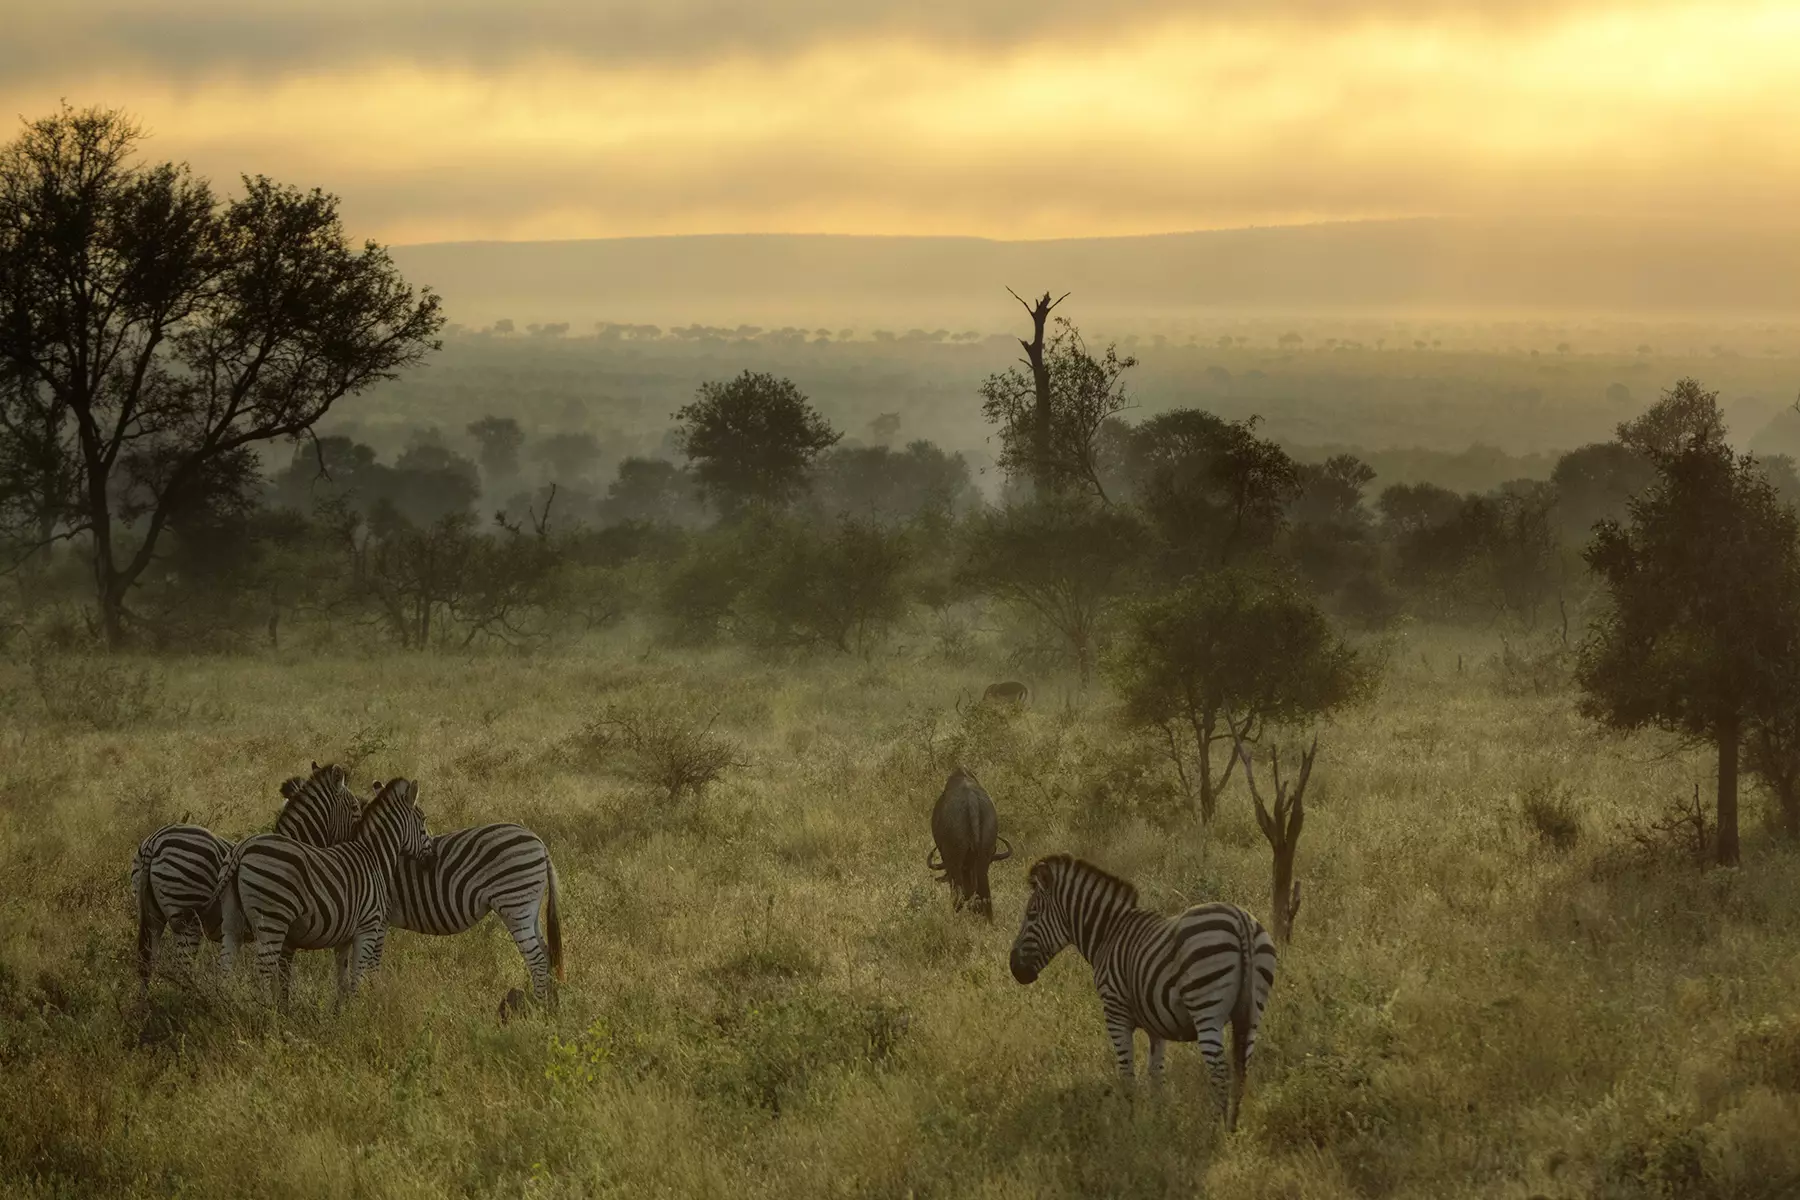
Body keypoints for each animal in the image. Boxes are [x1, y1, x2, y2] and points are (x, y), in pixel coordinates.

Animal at [129, 759, 361, 993]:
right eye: (356, 807)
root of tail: (155, 841)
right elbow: (280, 976)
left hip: (152, 916)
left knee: (146, 965)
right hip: (187, 916)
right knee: (181, 968)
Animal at [219, 773, 433, 1007]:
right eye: (423, 820)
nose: (432, 856)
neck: (374, 856)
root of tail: (244, 847)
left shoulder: (344, 938)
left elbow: (342, 978)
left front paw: (341, 1010)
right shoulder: (367, 929)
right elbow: (357, 978)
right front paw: (357, 1009)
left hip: (232, 922)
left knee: (226, 966)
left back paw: (224, 1004)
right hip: (273, 920)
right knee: (263, 971)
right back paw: (266, 1011)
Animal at [1008, 852, 1274, 1137]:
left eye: (1032, 914)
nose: (1014, 969)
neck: (1108, 934)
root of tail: (1241, 921)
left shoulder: (1114, 1012)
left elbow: (1127, 1072)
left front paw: (1129, 1120)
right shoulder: (1156, 1022)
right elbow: (1155, 1073)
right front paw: (1158, 1121)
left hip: (1207, 1009)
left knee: (1220, 1070)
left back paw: (1217, 1129)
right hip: (1252, 1012)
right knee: (1242, 1067)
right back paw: (1233, 1127)